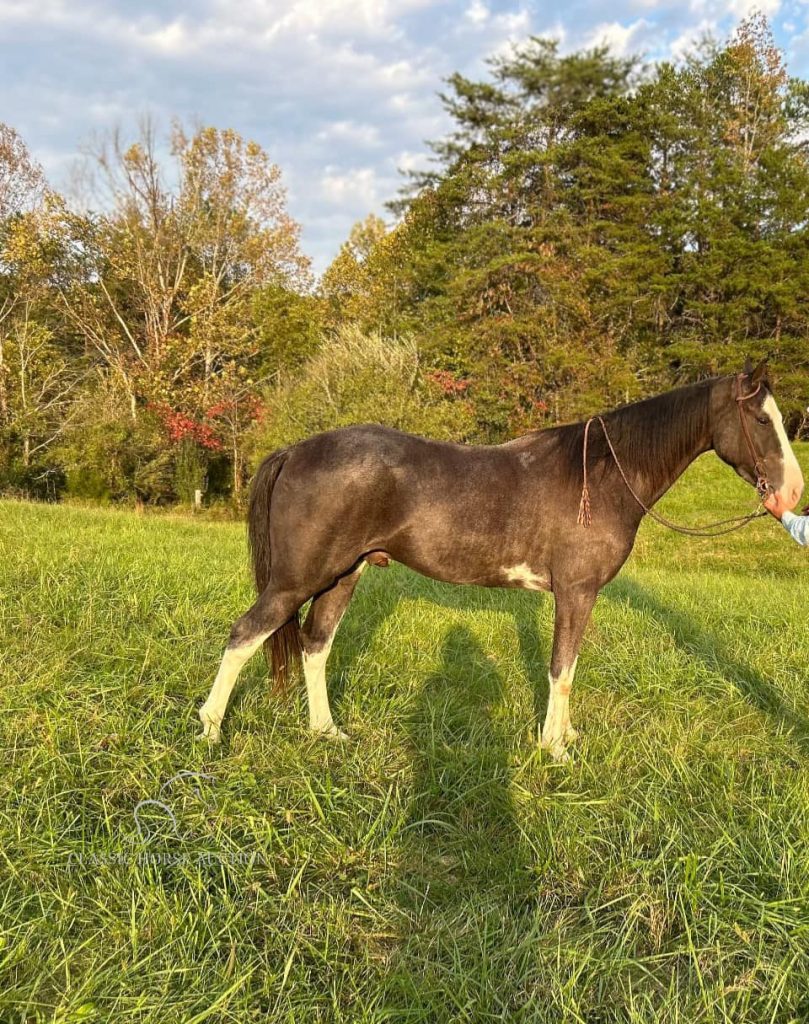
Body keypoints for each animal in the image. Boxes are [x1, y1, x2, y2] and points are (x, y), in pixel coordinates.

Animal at [198, 361, 803, 760]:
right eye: (762, 420)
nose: (792, 493)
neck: (603, 475)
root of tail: (294, 450)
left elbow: (568, 668)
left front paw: (565, 736)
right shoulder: (576, 592)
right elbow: (562, 669)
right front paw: (555, 748)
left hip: (343, 575)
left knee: (315, 646)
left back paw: (327, 733)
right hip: (296, 580)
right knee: (245, 635)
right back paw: (210, 731)